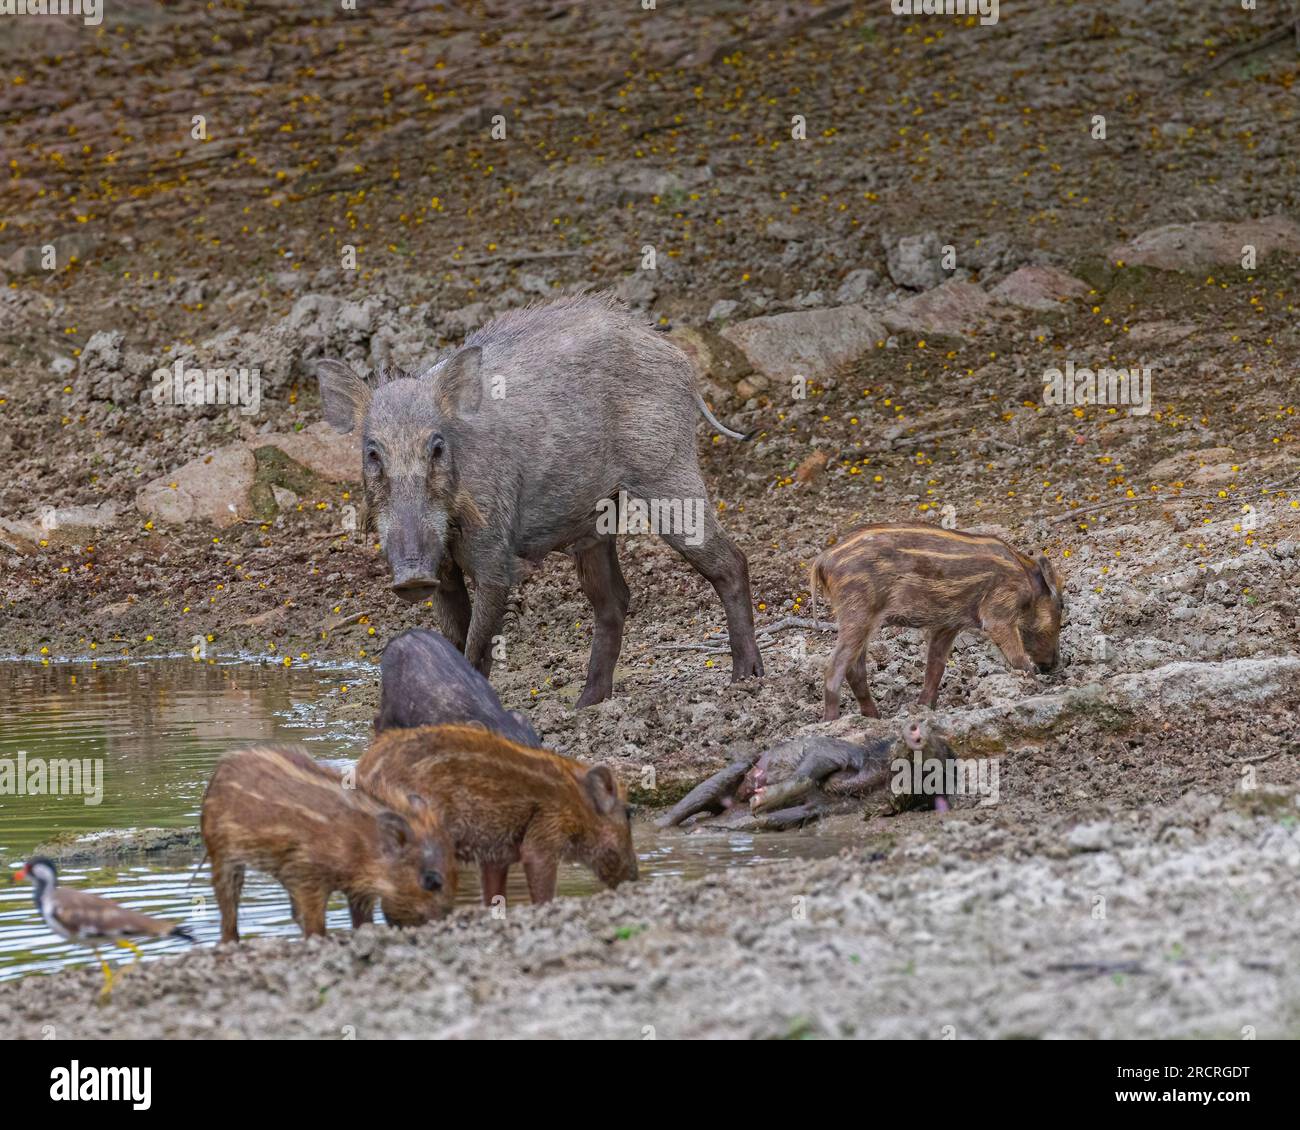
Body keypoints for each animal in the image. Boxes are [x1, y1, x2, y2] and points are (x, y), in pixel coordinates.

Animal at [200, 744, 455, 943]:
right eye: (431, 881)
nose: (442, 923)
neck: (361, 842)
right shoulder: (308, 876)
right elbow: (314, 922)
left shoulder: (355, 888)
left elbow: (361, 920)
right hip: (221, 854)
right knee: (228, 910)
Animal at [316, 294, 763, 708]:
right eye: (372, 453)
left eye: (437, 447)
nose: (411, 577)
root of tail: (674, 355)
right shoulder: (442, 571)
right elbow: (453, 641)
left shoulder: (495, 564)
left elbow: (476, 647)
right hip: (596, 522)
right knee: (614, 599)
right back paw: (585, 704)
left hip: (669, 478)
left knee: (731, 562)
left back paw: (746, 678)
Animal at [357, 723, 638, 905]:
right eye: (628, 813)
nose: (633, 878)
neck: (576, 801)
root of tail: (363, 773)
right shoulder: (545, 833)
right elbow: (542, 888)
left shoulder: (495, 857)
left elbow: (494, 896)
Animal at [811, 522, 1064, 720]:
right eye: (1061, 606)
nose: (1054, 664)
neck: (1025, 582)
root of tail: (822, 560)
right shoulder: (998, 612)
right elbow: (1018, 658)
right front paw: (1036, 689)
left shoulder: (948, 624)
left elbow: (935, 665)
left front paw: (924, 707)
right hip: (858, 612)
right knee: (834, 668)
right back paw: (831, 722)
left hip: (861, 619)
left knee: (855, 669)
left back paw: (875, 717)